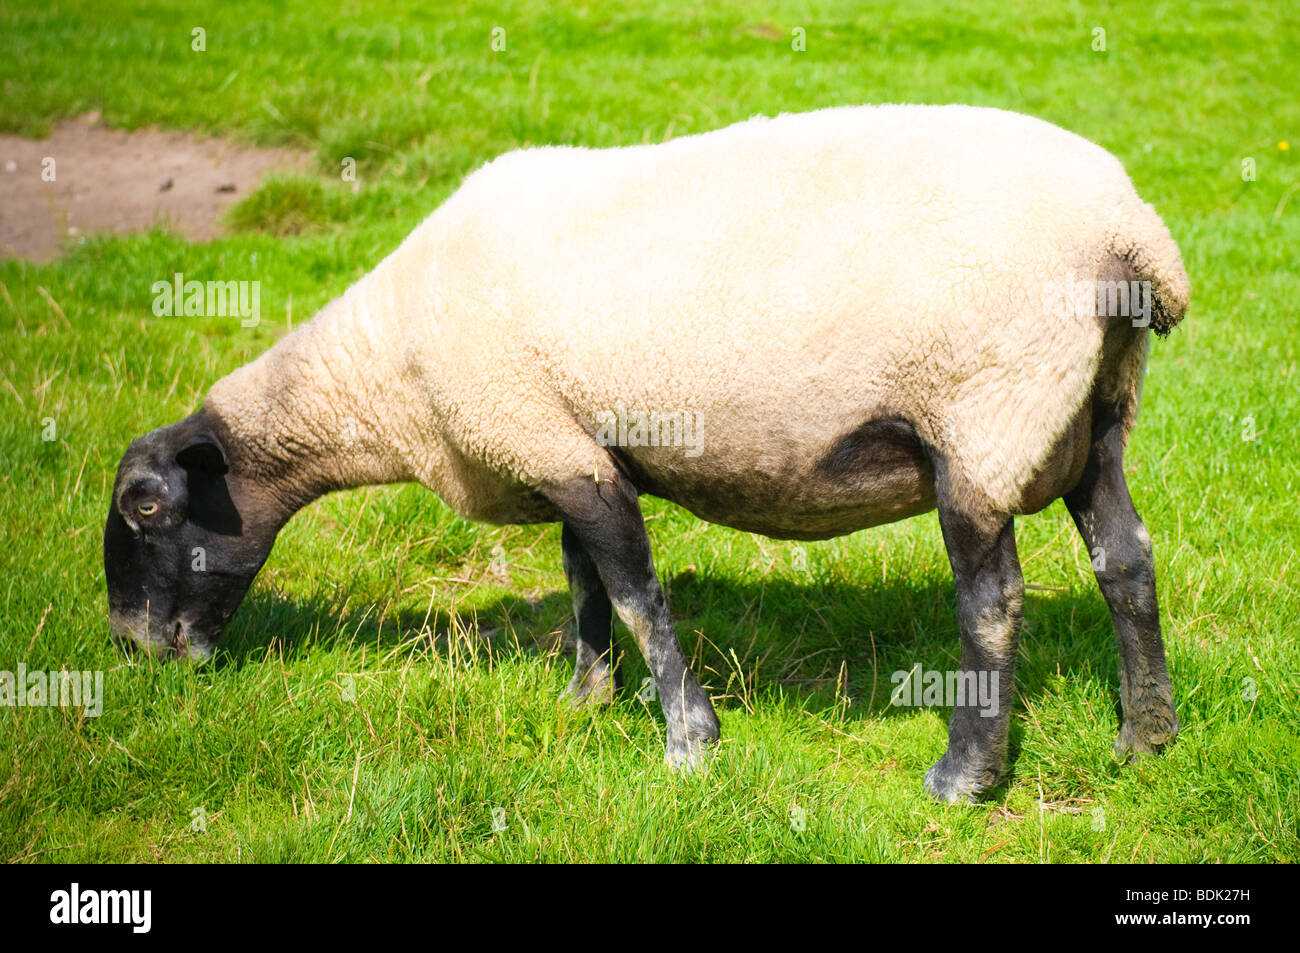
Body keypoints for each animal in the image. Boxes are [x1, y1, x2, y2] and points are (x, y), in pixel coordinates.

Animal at [104, 104, 1189, 802]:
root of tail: (1133, 233)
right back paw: (1144, 739)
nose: (131, 647)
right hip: (1092, 408)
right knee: (1125, 558)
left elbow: (633, 594)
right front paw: (585, 699)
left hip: (984, 411)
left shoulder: (553, 443)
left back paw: (965, 775)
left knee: (992, 600)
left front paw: (688, 742)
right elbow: (583, 582)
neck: (385, 374)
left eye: (147, 505)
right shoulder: (559, 439)